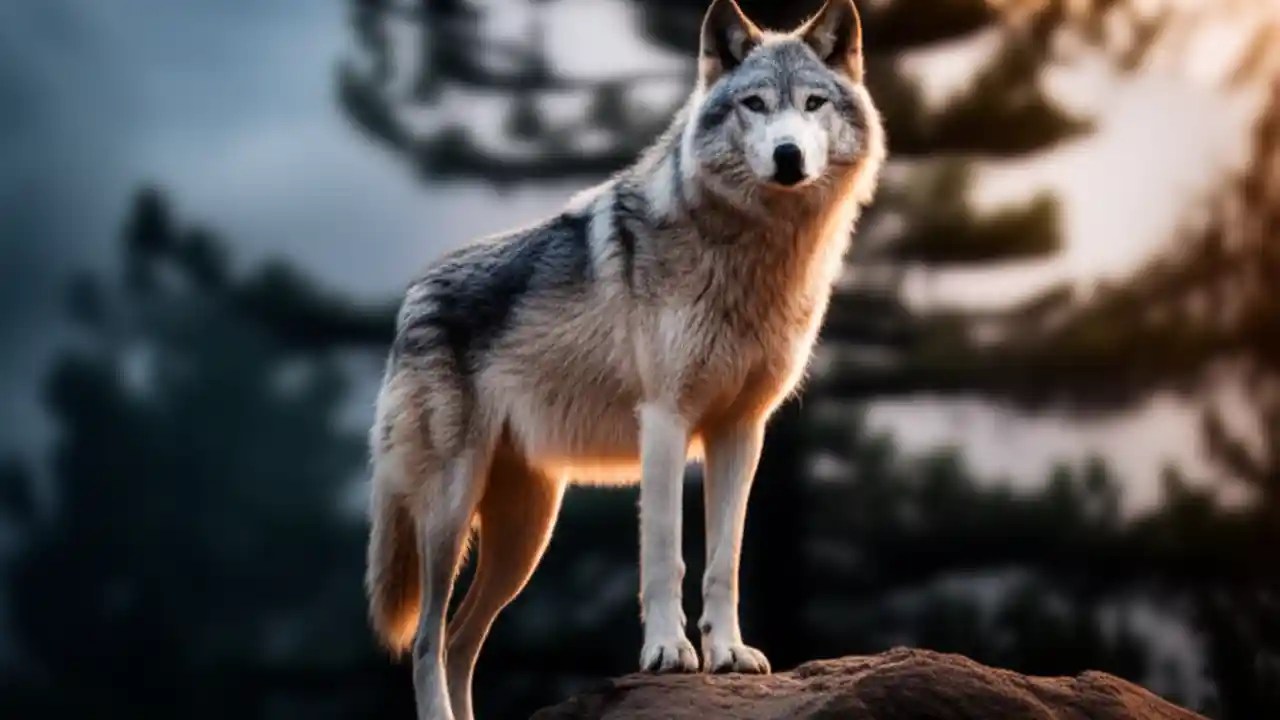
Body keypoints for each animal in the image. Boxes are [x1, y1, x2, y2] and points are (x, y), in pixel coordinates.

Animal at [365, 1, 885, 717]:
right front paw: (668, 652)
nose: (789, 156)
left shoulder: (740, 429)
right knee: (424, 642)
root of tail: (411, 298)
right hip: (449, 515)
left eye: (813, 103)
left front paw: (728, 654)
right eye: (754, 103)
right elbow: (666, 553)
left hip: (525, 535)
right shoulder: (665, 420)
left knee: (460, 642)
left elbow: (725, 560)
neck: (752, 255)